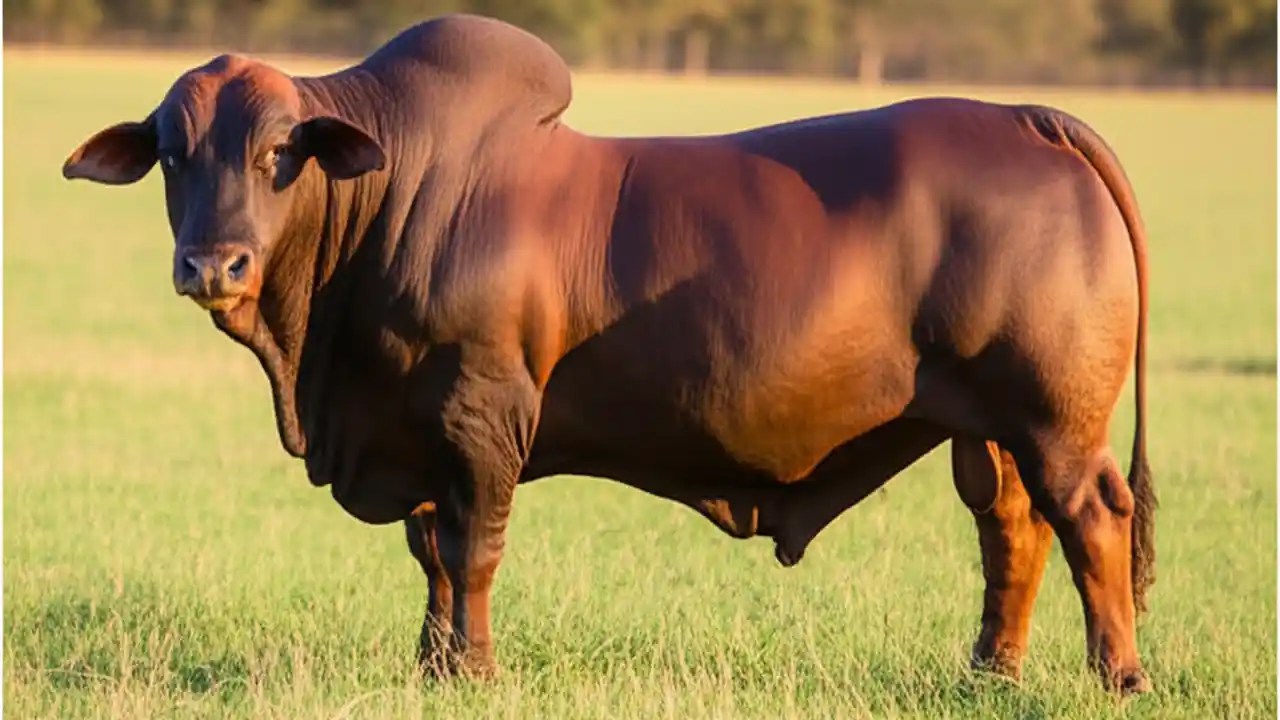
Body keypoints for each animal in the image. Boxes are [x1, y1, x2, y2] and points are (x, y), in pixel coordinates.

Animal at [62, 14, 1155, 693]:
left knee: (1093, 518)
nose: (213, 263)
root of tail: (1023, 118)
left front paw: (475, 671)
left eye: (275, 153)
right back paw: (990, 671)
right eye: (172, 155)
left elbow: (471, 551)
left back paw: (1118, 676)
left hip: (1056, 421)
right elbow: (430, 556)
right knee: (1011, 532)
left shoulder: (481, 416)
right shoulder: (413, 432)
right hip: (989, 430)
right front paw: (430, 667)